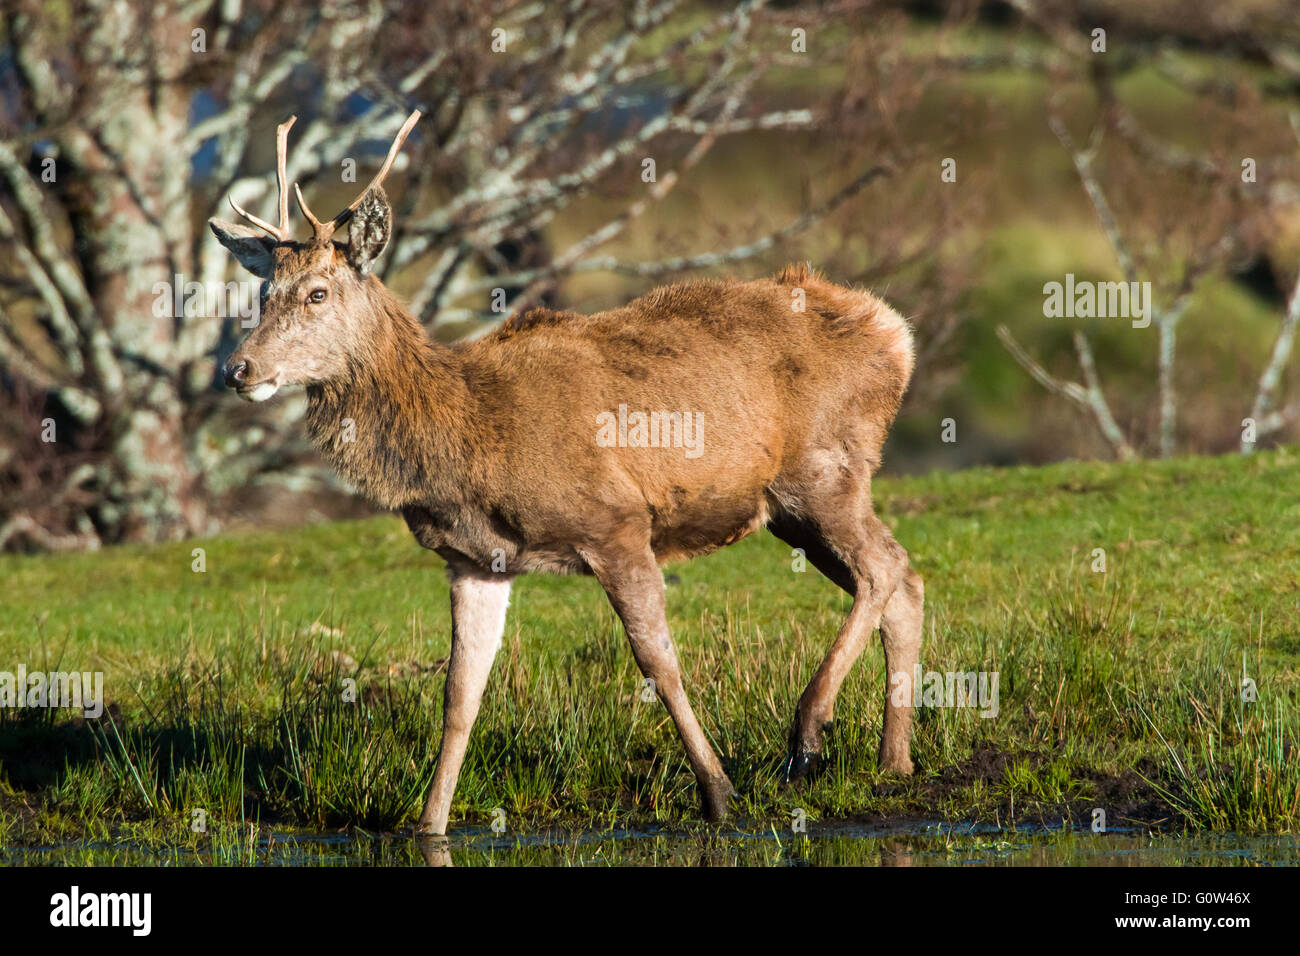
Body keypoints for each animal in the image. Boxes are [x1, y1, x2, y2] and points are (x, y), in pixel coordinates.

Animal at [210, 110, 924, 838]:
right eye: (262, 292)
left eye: (317, 292)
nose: (237, 369)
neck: (467, 438)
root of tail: (895, 332)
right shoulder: (474, 560)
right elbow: (460, 696)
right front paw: (429, 827)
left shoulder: (617, 524)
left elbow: (659, 664)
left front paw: (720, 794)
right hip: (791, 508)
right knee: (904, 581)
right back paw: (893, 760)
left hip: (825, 468)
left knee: (884, 569)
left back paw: (807, 737)